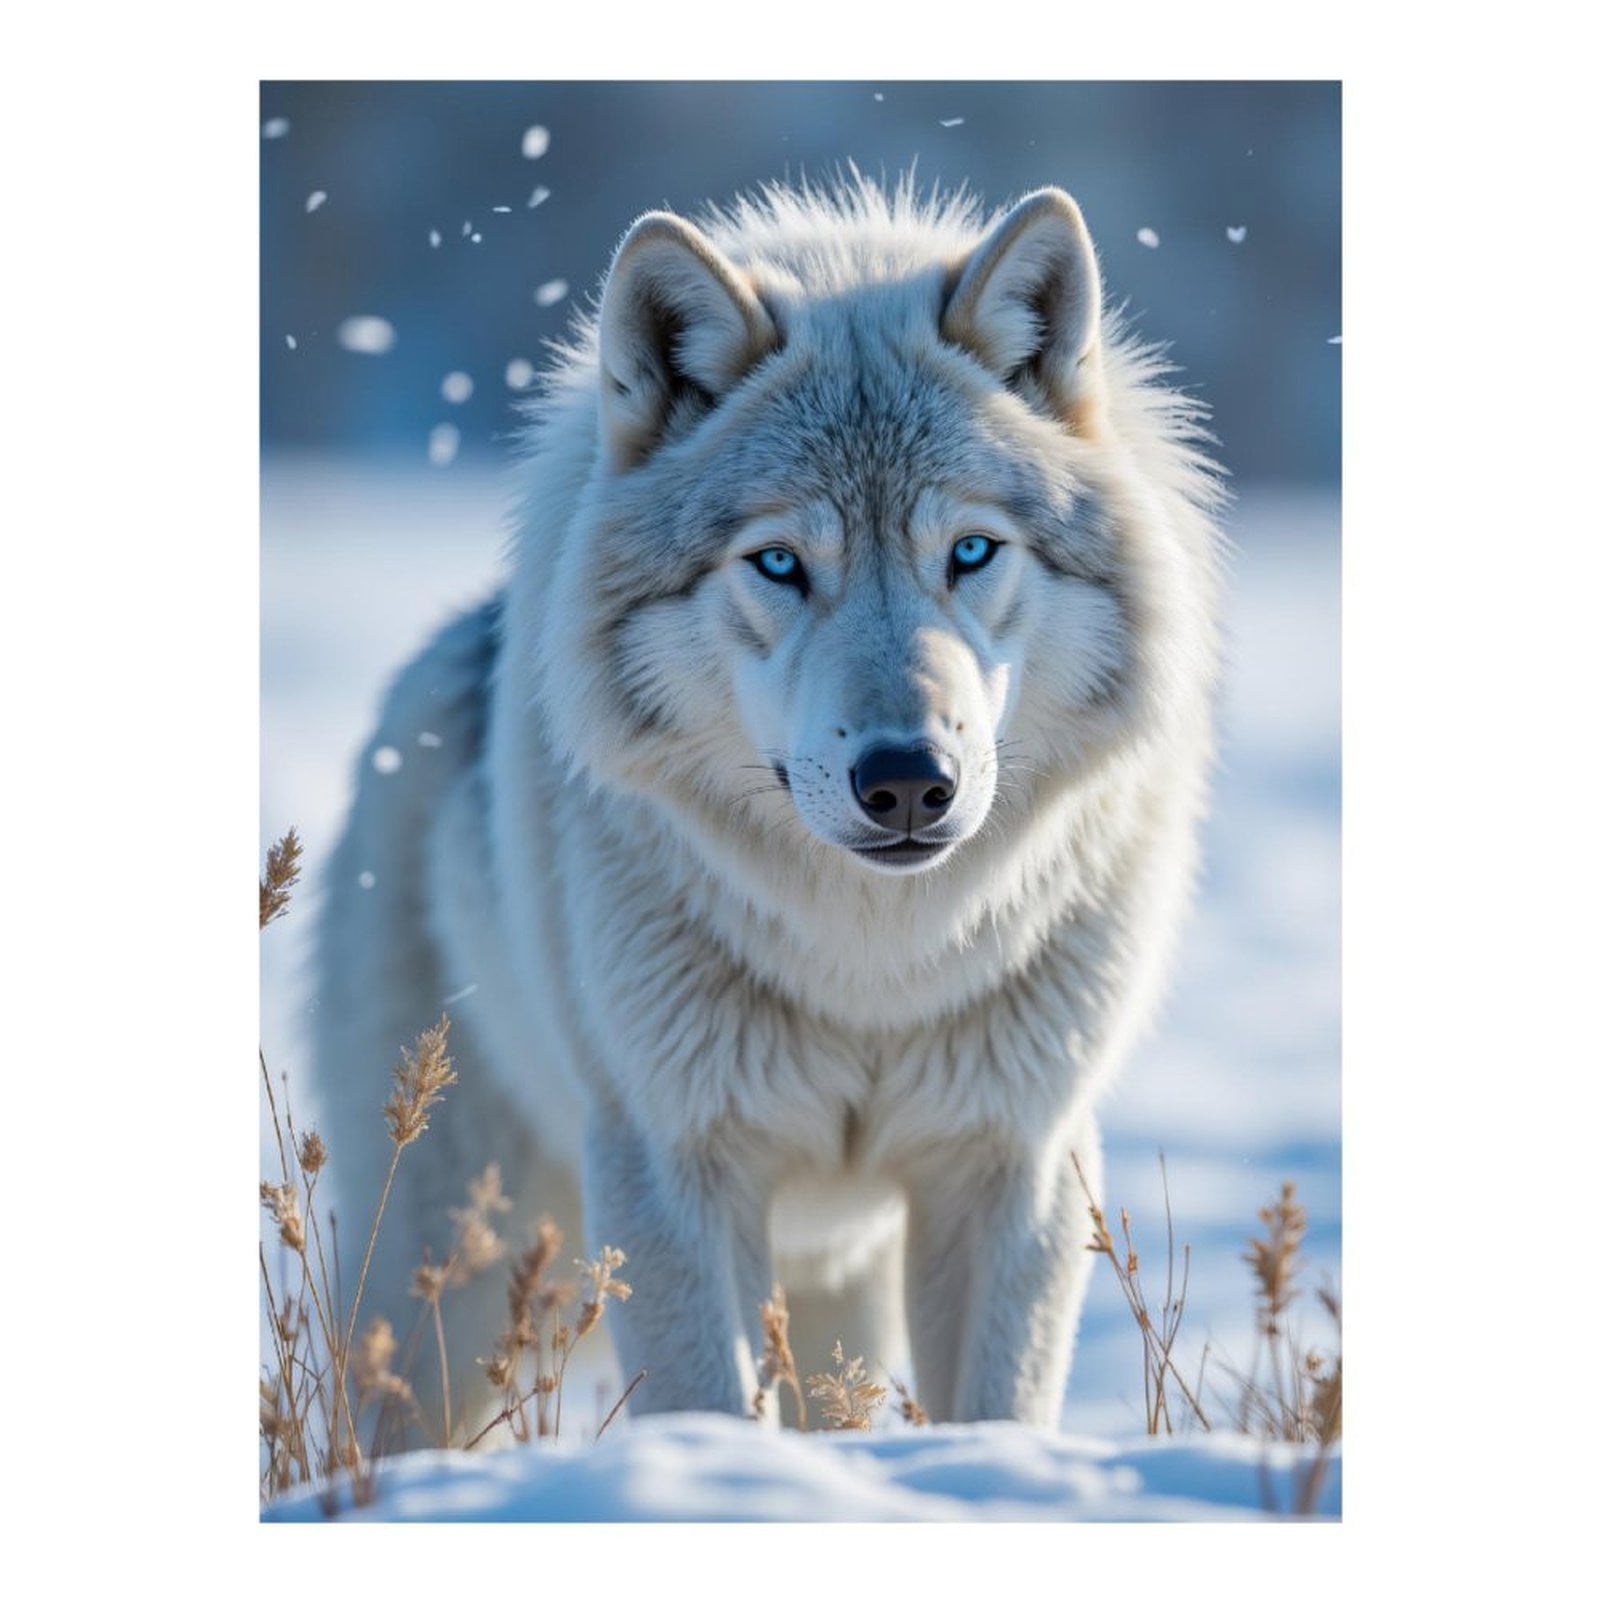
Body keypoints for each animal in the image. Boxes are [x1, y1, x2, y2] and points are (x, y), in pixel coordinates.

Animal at [313, 176, 1223, 1428]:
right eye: (781, 563)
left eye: (970, 551)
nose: (907, 778)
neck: (872, 967)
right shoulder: (670, 1164)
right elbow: (704, 1398)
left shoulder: (1014, 1161)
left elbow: (992, 1410)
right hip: (440, 1283)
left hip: (841, 1288)